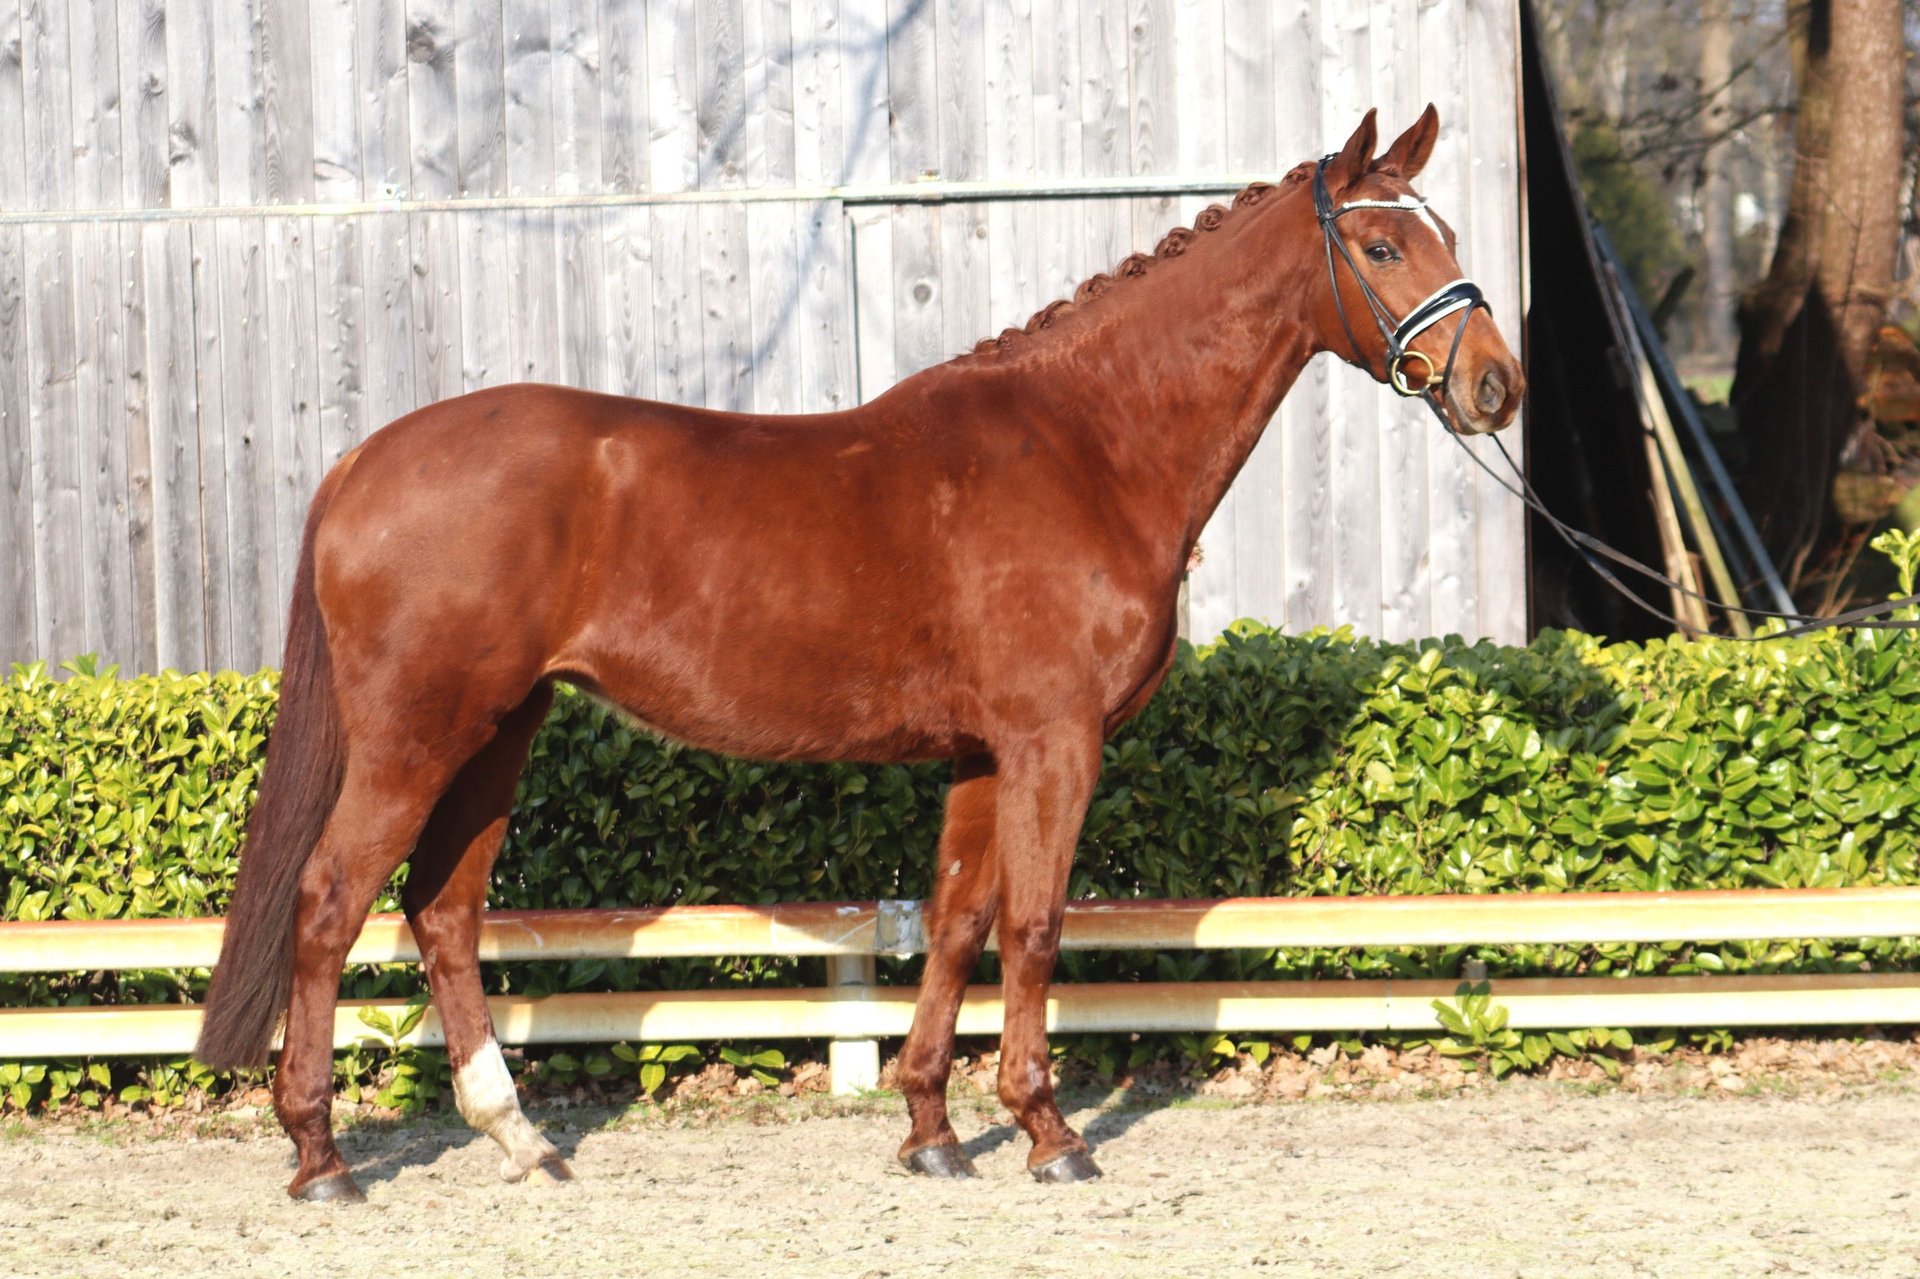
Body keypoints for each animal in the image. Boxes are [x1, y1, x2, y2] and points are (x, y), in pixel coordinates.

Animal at [194, 105, 1524, 1201]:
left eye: (1446, 230)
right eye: (1384, 246)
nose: (1495, 385)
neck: (1088, 444)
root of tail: (365, 459)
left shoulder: (984, 754)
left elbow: (957, 920)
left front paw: (931, 1129)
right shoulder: (1054, 741)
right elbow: (1035, 924)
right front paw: (1048, 1133)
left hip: (499, 731)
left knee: (443, 908)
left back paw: (519, 1136)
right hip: (419, 733)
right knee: (330, 899)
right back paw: (320, 1155)